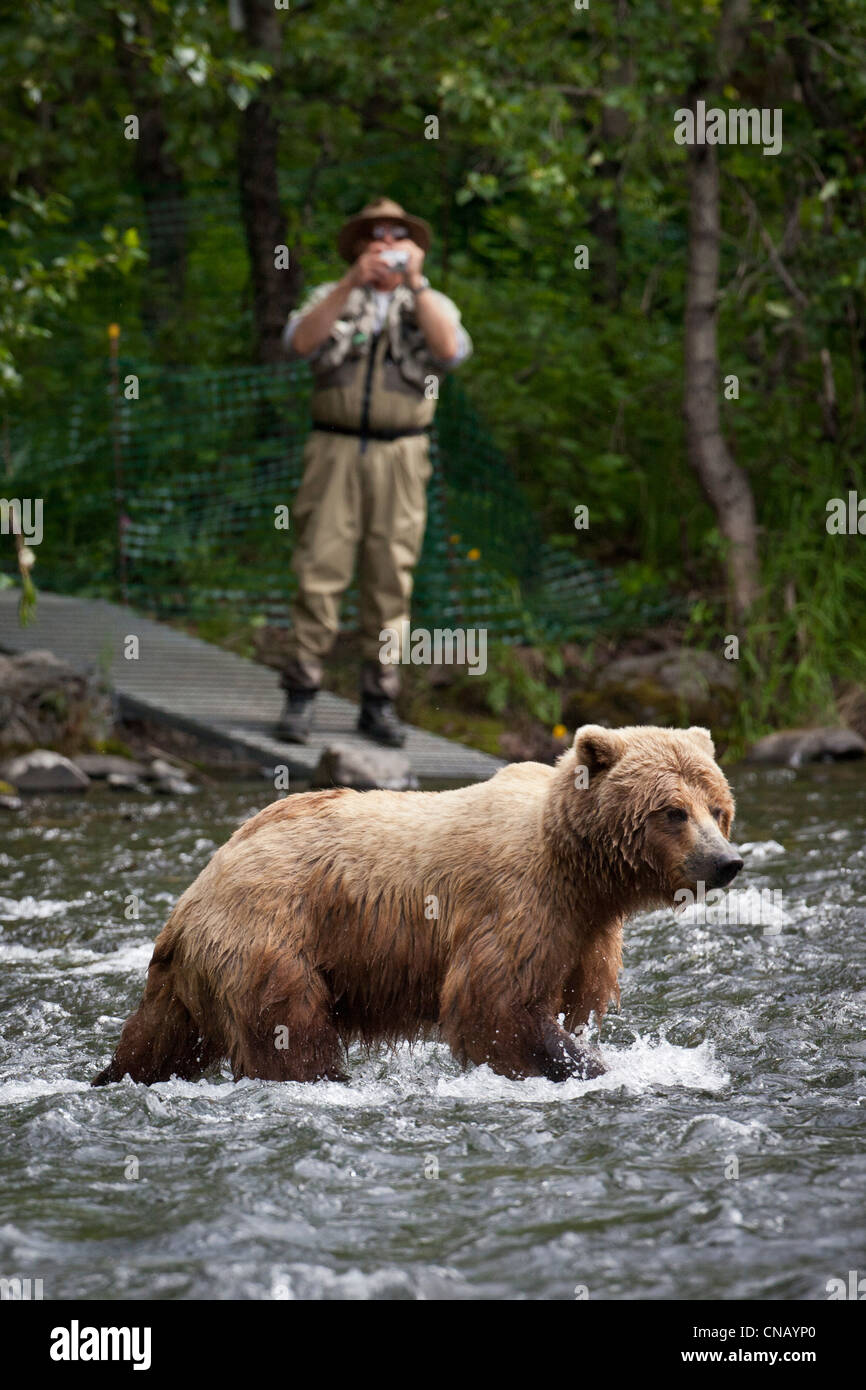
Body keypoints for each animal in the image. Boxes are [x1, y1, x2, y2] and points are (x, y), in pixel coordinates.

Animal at [92, 724, 742, 1088]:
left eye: (717, 806)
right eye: (673, 811)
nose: (725, 861)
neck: (583, 872)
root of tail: (198, 888)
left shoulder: (586, 933)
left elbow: (568, 1000)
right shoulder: (519, 903)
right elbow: (496, 1004)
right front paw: (587, 1066)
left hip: (192, 976)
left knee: (157, 1039)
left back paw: (111, 1075)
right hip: (269, 937)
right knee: (289, 1032)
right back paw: (328, 1079)